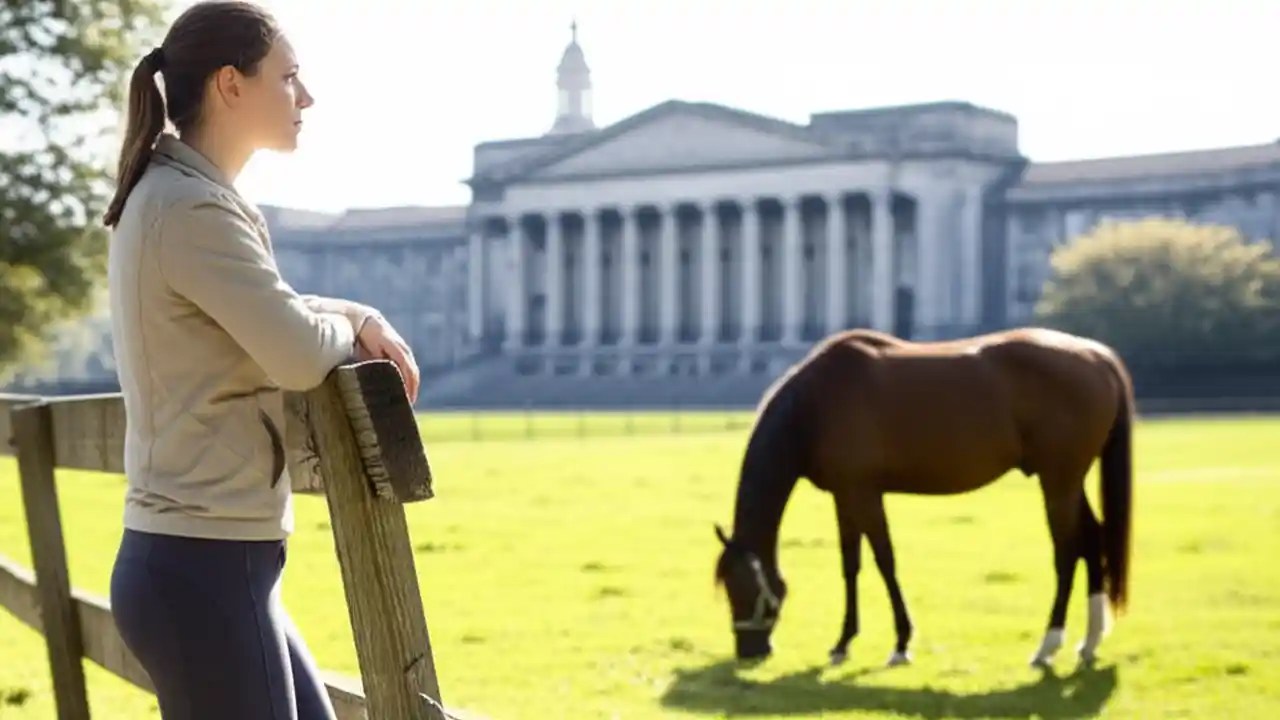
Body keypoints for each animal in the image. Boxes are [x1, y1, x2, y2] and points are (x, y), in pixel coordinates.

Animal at [713, 326, 1134, 669]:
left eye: (739, 587)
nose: (749, 652)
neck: (817, 403)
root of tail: (1098, 356)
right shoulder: (845, 496)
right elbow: (851, 565)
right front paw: (843, 643)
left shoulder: (863, 494)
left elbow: (885, 561)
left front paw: (900, 645)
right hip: (1068, 481)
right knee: (1093, 539)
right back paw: (1089, 643)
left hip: (1058, 482)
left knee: (1067, 552)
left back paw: (1048, 645)